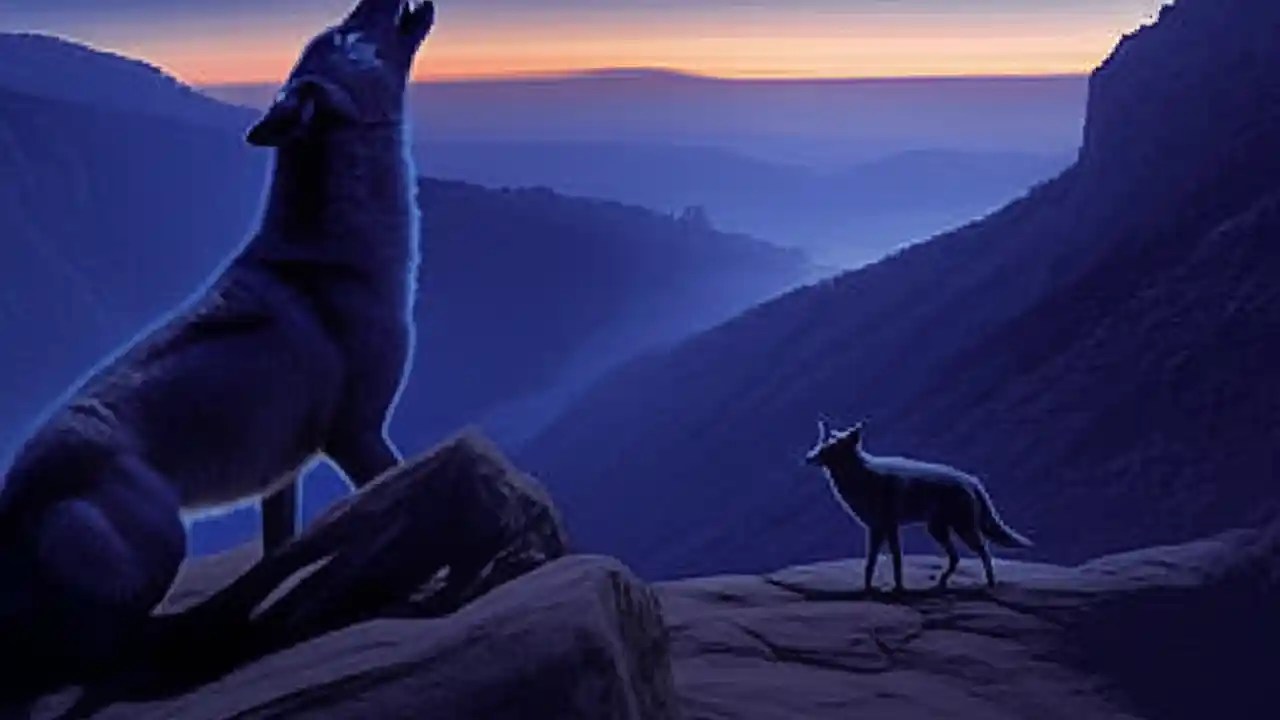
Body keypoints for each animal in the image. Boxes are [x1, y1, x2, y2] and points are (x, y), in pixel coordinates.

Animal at [0, 0, 434, 677]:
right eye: (343, 32)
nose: (363, 3)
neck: (340, 257)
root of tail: (14, 498)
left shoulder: (285, 475)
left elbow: (280, 549)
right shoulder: (358, 434)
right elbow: (401, 485)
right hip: (161, 545)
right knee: (95, 651)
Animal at [805, 420, 1031, 593]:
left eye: (829, 448)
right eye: (821, 444)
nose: (808, 457)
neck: (862, 477)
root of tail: (973, 482)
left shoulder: (888, 527)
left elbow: (894, 561)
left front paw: (896, 589)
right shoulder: (879, 529)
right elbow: (872, 563)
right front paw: (871, 588)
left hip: (962, 529)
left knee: (984, 552)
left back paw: (990, 584)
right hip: (938, 530)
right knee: (956, 558)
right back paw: (941, 584)